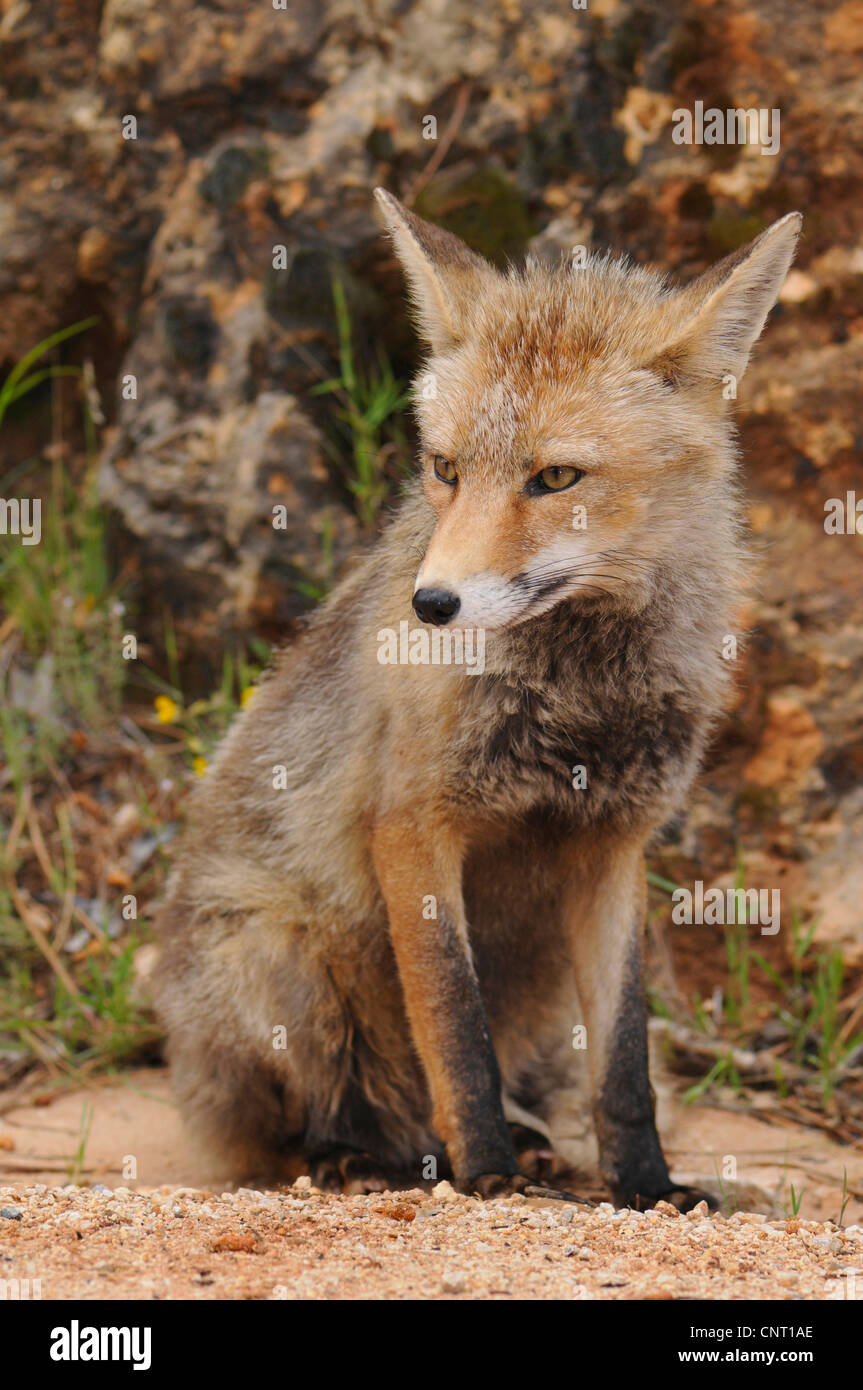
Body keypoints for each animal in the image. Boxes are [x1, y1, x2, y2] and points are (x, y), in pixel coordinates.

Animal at [154, 190, 801, 1208]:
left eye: (556, 478)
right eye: (445, 469)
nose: (431, 605)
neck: (580, 700)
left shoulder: (614, 844)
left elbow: (626, 1063)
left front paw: (646, 1185)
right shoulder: (412, 826)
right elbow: (455, 1029)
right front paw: (485, 1175)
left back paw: (522, 1145)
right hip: (279, 956)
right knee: (304, 1118)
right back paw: (359, 1155)